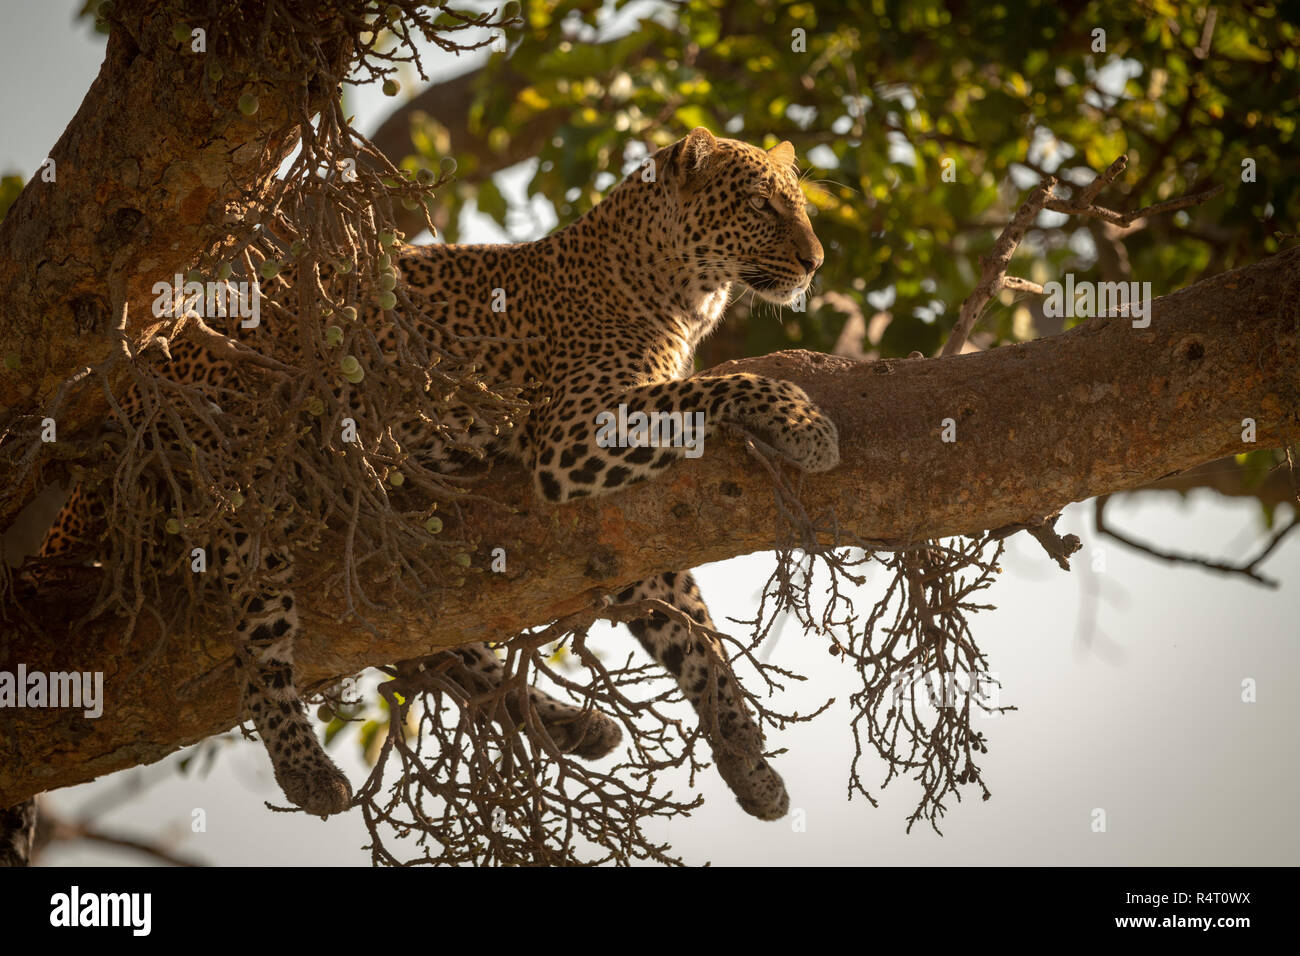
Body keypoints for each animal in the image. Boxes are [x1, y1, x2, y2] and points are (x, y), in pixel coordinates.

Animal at [33, 126, 838, 825]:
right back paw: (307, 771)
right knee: (261, 645)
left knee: (446, 646)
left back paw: (572, 727)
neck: (683, 295)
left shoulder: (636, 528)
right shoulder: (576, 432)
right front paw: (807, 425)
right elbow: (724, 384)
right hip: (244, 480)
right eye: (763, 207)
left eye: (797, 205)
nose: (816, 262)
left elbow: (694, 633)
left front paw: (746, 758)